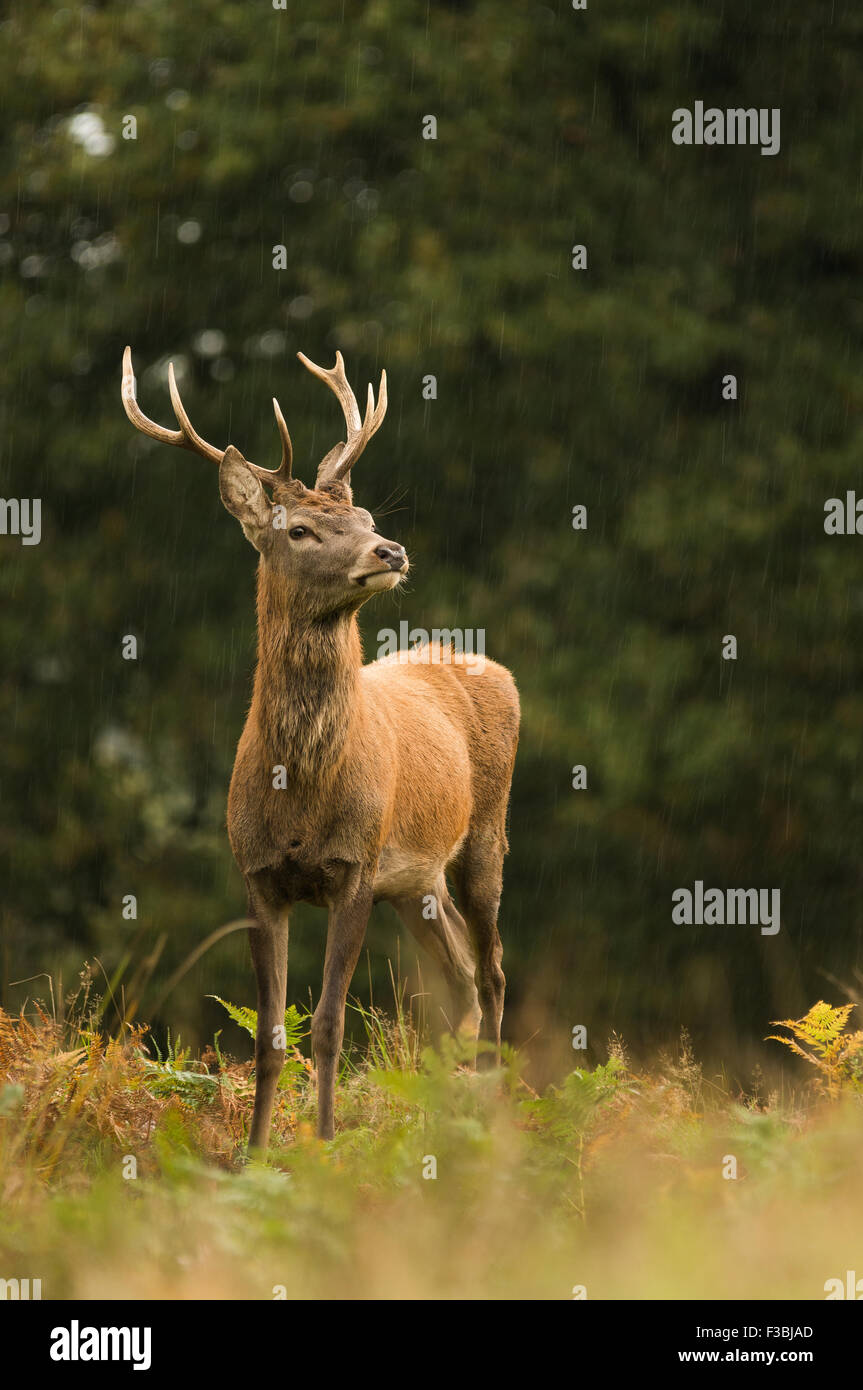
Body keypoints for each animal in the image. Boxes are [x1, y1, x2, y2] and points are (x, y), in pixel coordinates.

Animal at [121, 345, 520, 1147]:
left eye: (363, 515)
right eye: (299, 530)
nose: (390, 549)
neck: (299, 791)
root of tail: (494, 666)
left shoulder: (355, 864)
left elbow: (331, 1024)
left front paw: (327, 1144)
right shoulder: (256, 875)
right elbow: (270, 1035)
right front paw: (253, 1150)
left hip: (484, 832)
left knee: (493, 972)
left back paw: (487, 1111)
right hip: (418, 881)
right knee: (459, 977)